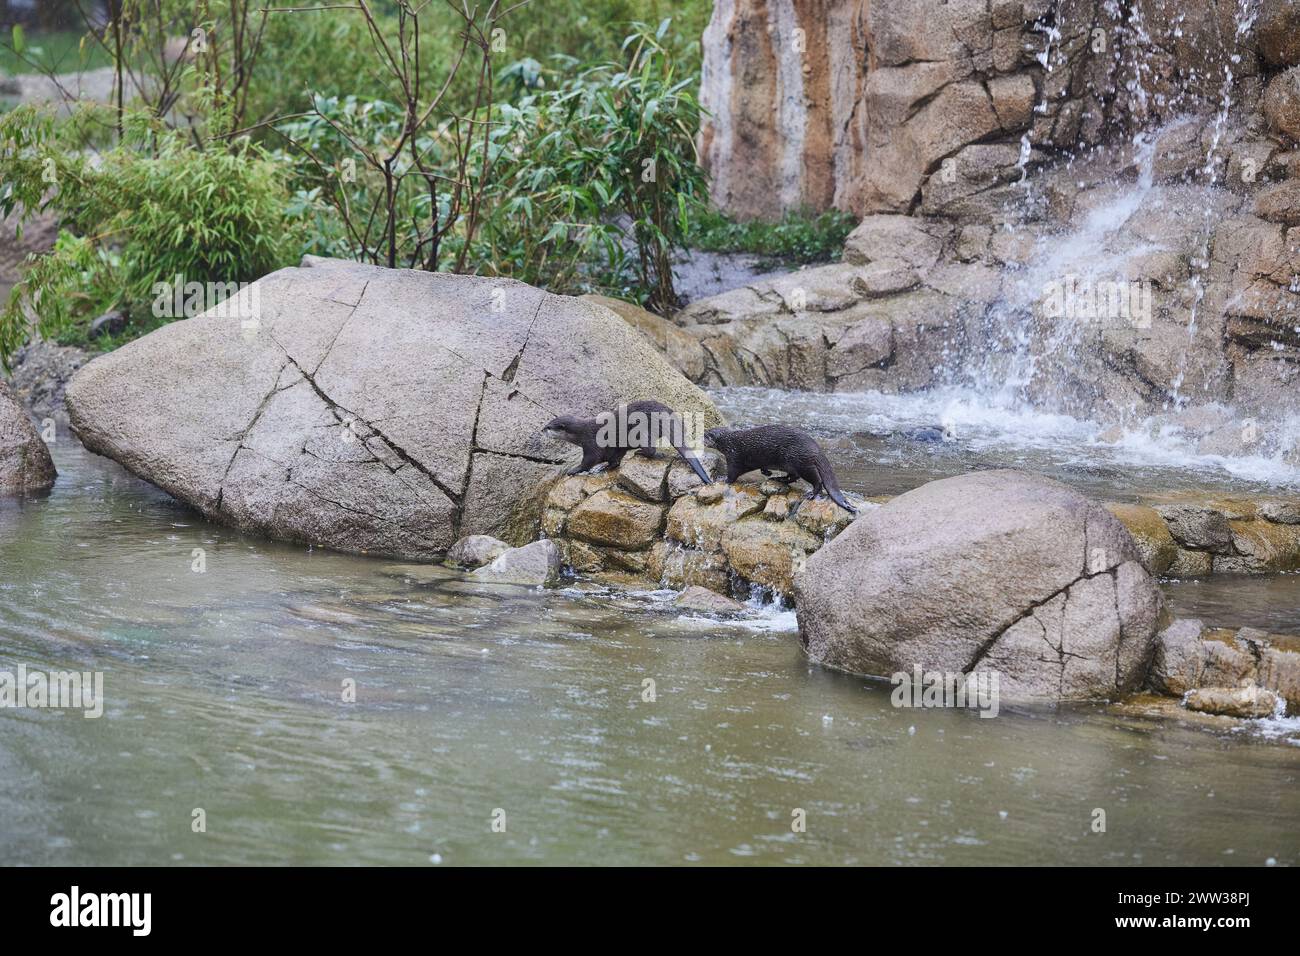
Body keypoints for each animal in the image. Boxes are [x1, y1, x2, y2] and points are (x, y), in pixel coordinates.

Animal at [543, 399, 712, 484]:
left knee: (651, 450)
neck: (583, 432)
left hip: (643, 431)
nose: (542, 429)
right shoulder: (614, 449)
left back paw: (642, 453)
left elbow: (590, 460)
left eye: (549, 427)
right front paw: (606, 467)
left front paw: (574, 470)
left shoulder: (592, 444)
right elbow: (614, 458)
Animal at [703, 424, 856, 514]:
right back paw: (779, 478)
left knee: (816, 480)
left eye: (705, 435)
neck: (729, 443)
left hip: (801, 461)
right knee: (793, 476)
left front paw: (723, 479)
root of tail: (815, 448)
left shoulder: (734, 457)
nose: (700, 437)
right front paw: (768, 472)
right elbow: (763, 467)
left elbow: (732, 473)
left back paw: (811, 494)